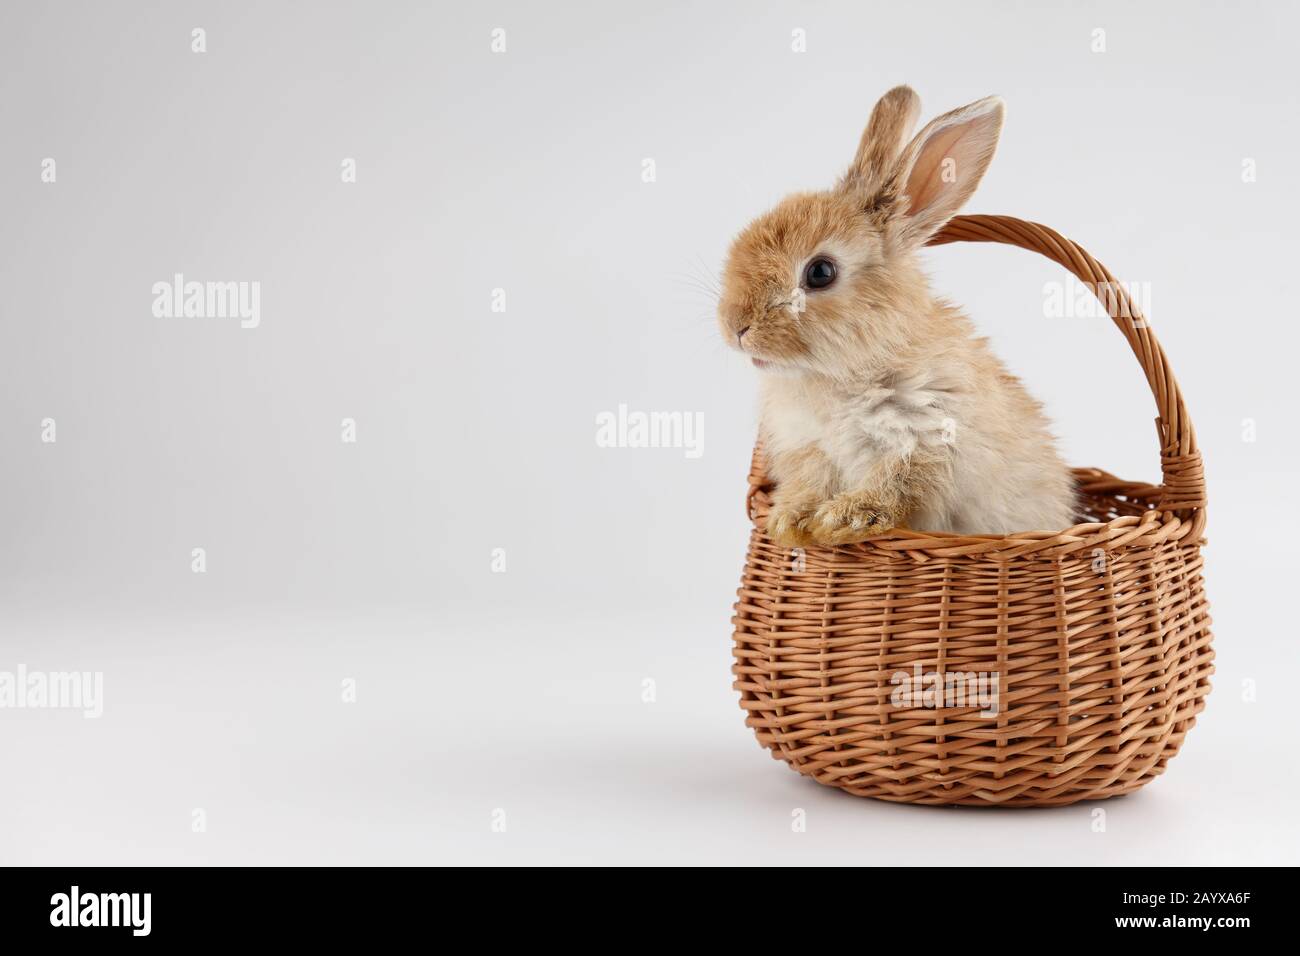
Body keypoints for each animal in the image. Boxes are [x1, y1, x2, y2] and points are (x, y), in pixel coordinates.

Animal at [718, 85, 1076, 546]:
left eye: (820, 272)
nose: (735, 327)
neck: (844, 370)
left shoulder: (925, 443)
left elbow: (894, 486)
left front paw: (841, 519)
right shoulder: (808, 448)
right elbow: (809, 483)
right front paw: (790, 522)